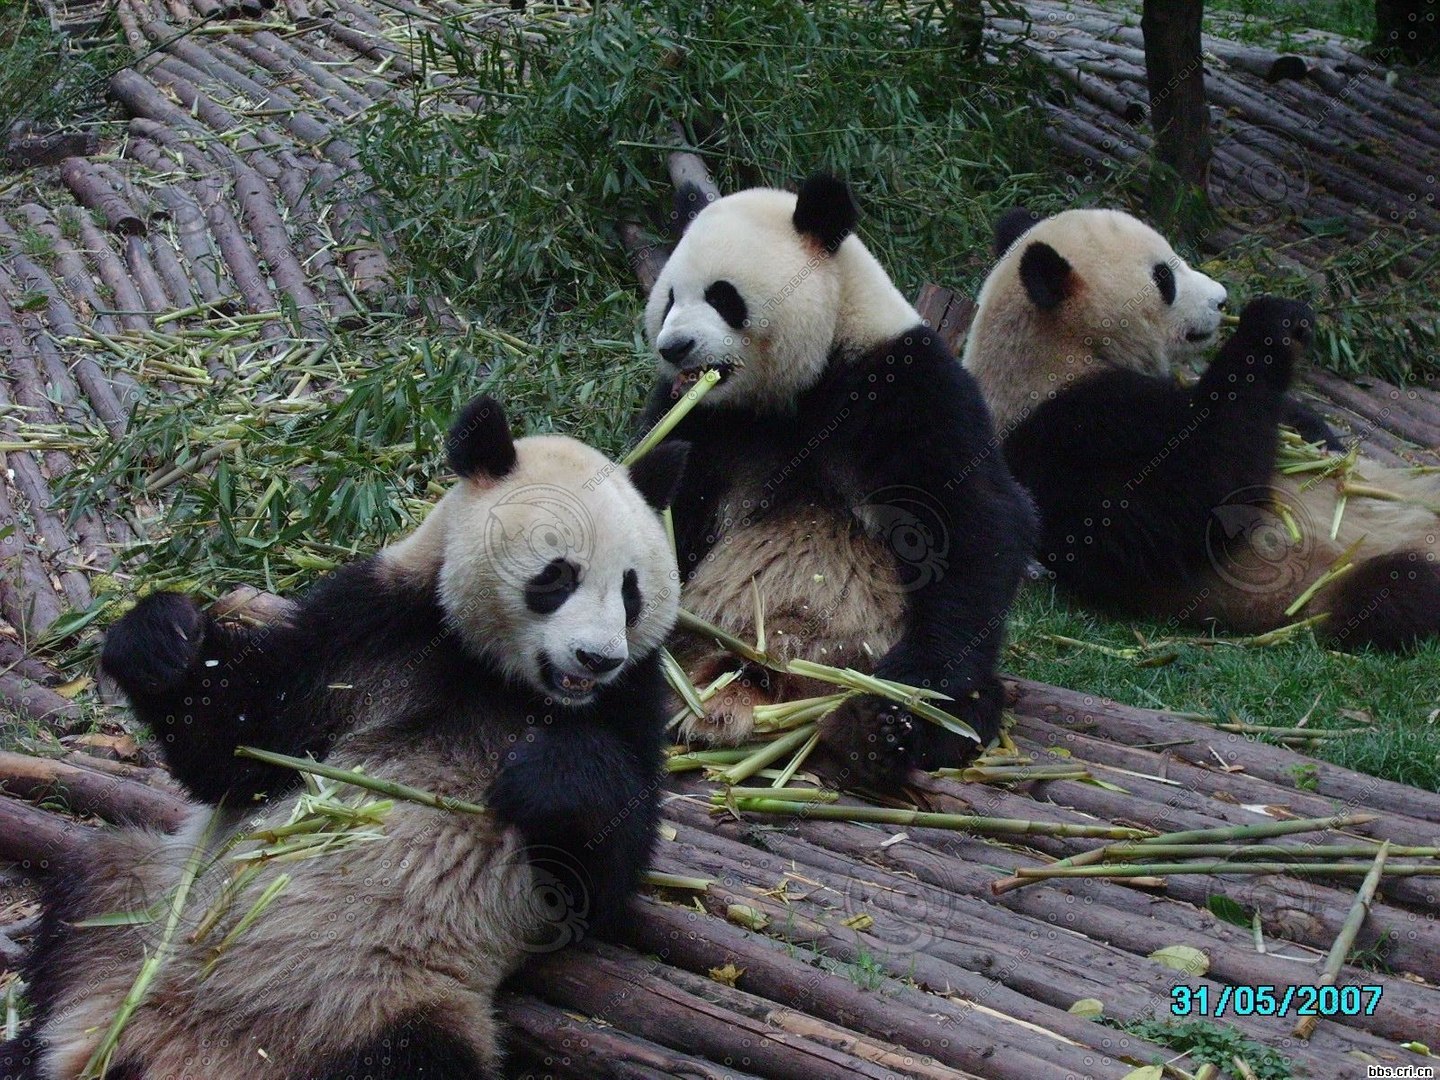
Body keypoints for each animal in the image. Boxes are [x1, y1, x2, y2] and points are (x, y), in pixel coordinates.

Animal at [1, 396, 687, 1080]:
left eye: (630, 592)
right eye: (557, 576)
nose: (597, 658)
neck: (502, 677)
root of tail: (183, 1049)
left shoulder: (630, 699)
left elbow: (601, 876)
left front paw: (545, 776)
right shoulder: (374, 625)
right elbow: (244, 751)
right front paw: (162, 641)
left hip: (385, 1005)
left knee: (416, 1057)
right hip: (141, 903)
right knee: (84, 901)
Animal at [639, 174, 1036, 790]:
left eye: (722, 297)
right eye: (670, 299)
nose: (674, 346)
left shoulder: (904, 384)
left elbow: (977, 521)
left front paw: (900, 696)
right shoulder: (701, 420)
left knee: (968, 707)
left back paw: (875, 732)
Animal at [962, 207, 1440, 652]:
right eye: (1163, 277)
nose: (1224, 301)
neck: (1053, 356)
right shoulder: (1067, 431)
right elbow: (1187, 507)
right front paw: (1273, 324)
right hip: (1326, 585)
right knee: (1399, 590)